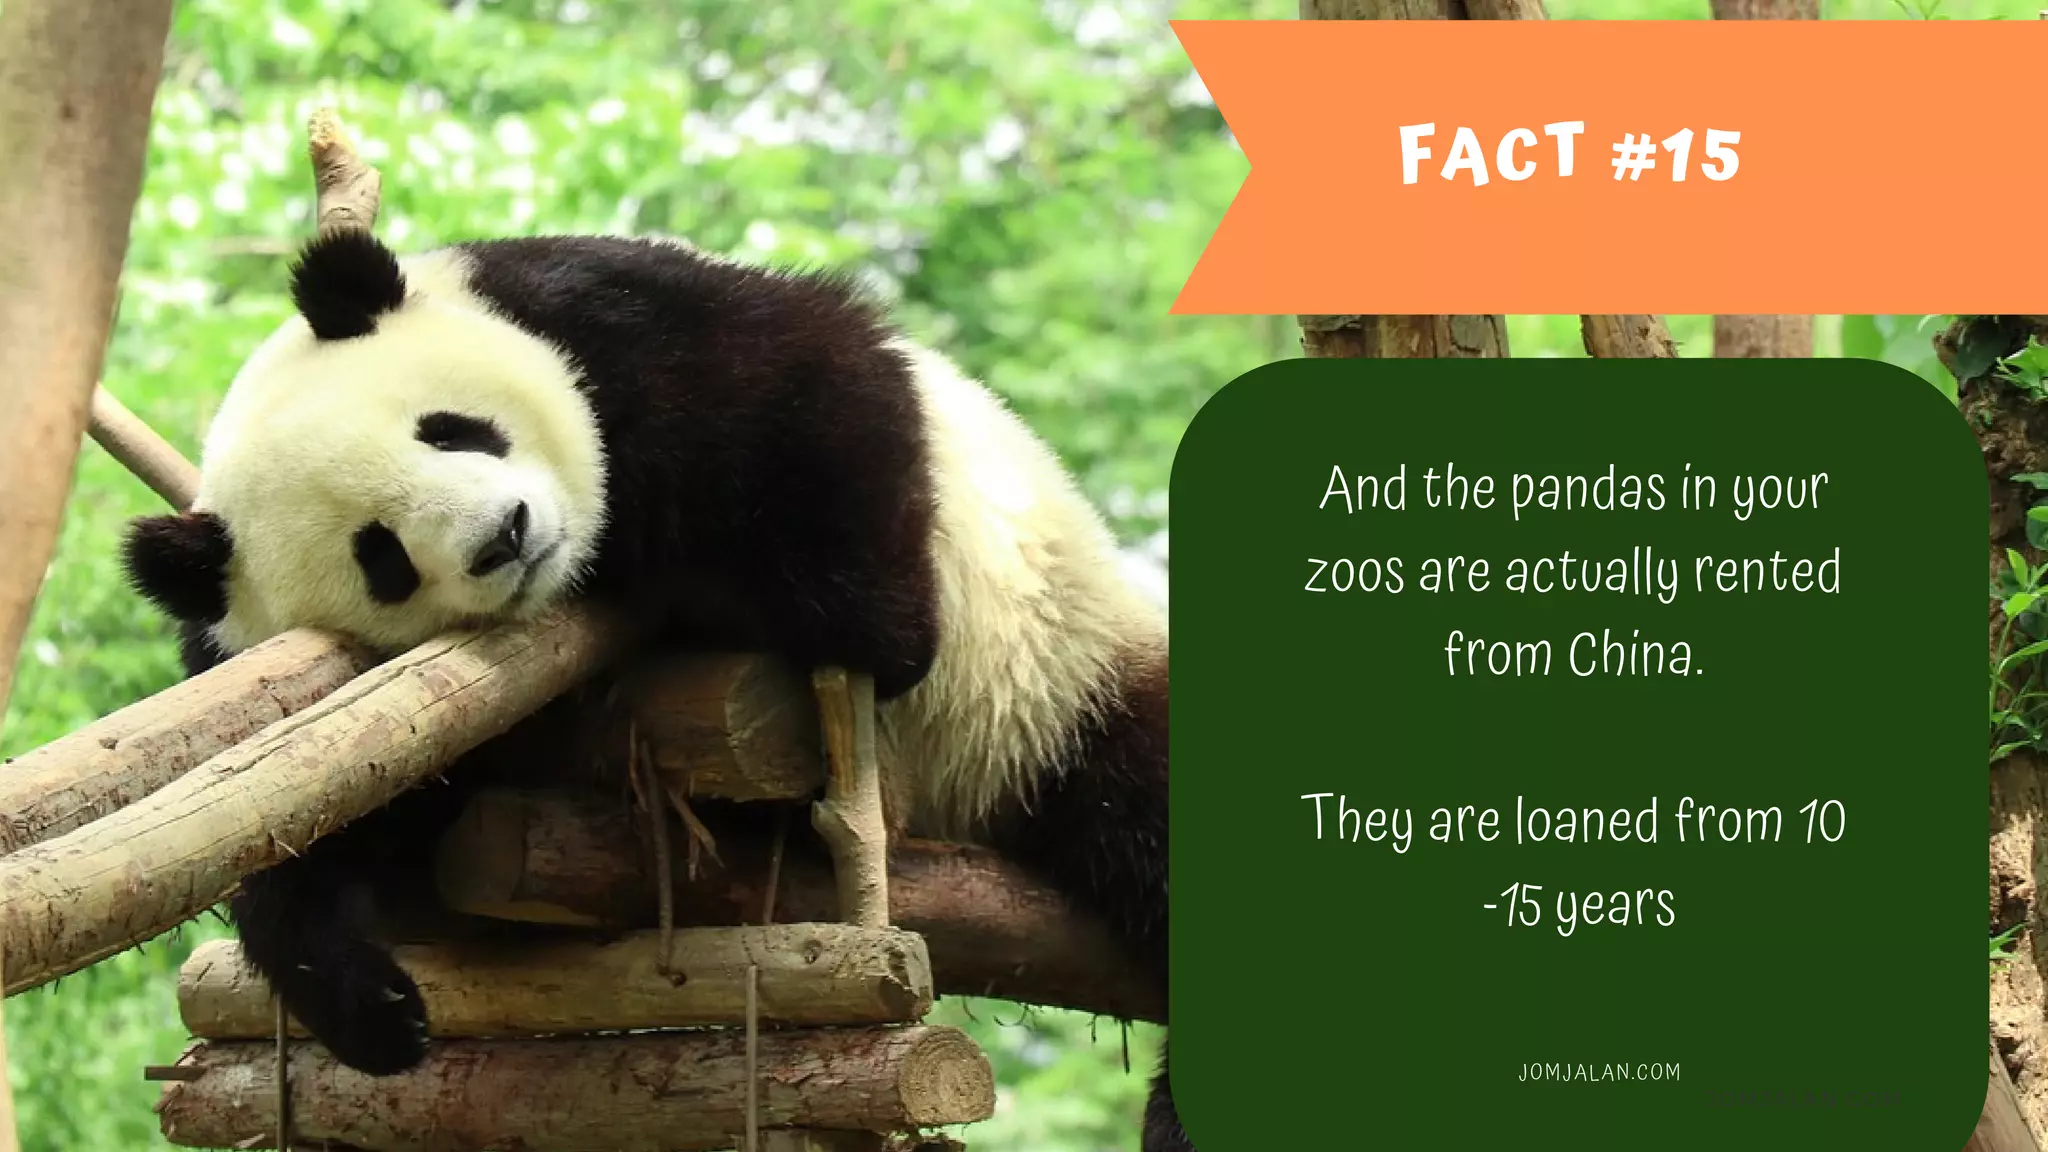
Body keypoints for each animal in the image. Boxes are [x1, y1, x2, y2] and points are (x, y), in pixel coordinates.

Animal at [120, 230, 1187, 1152]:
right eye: (380, 556)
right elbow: (303, 817)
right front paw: (372, 1008)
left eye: (452, 432)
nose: (505, 536)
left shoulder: (606, 319)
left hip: (1055, 675)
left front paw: (869, 627)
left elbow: (813, 378)